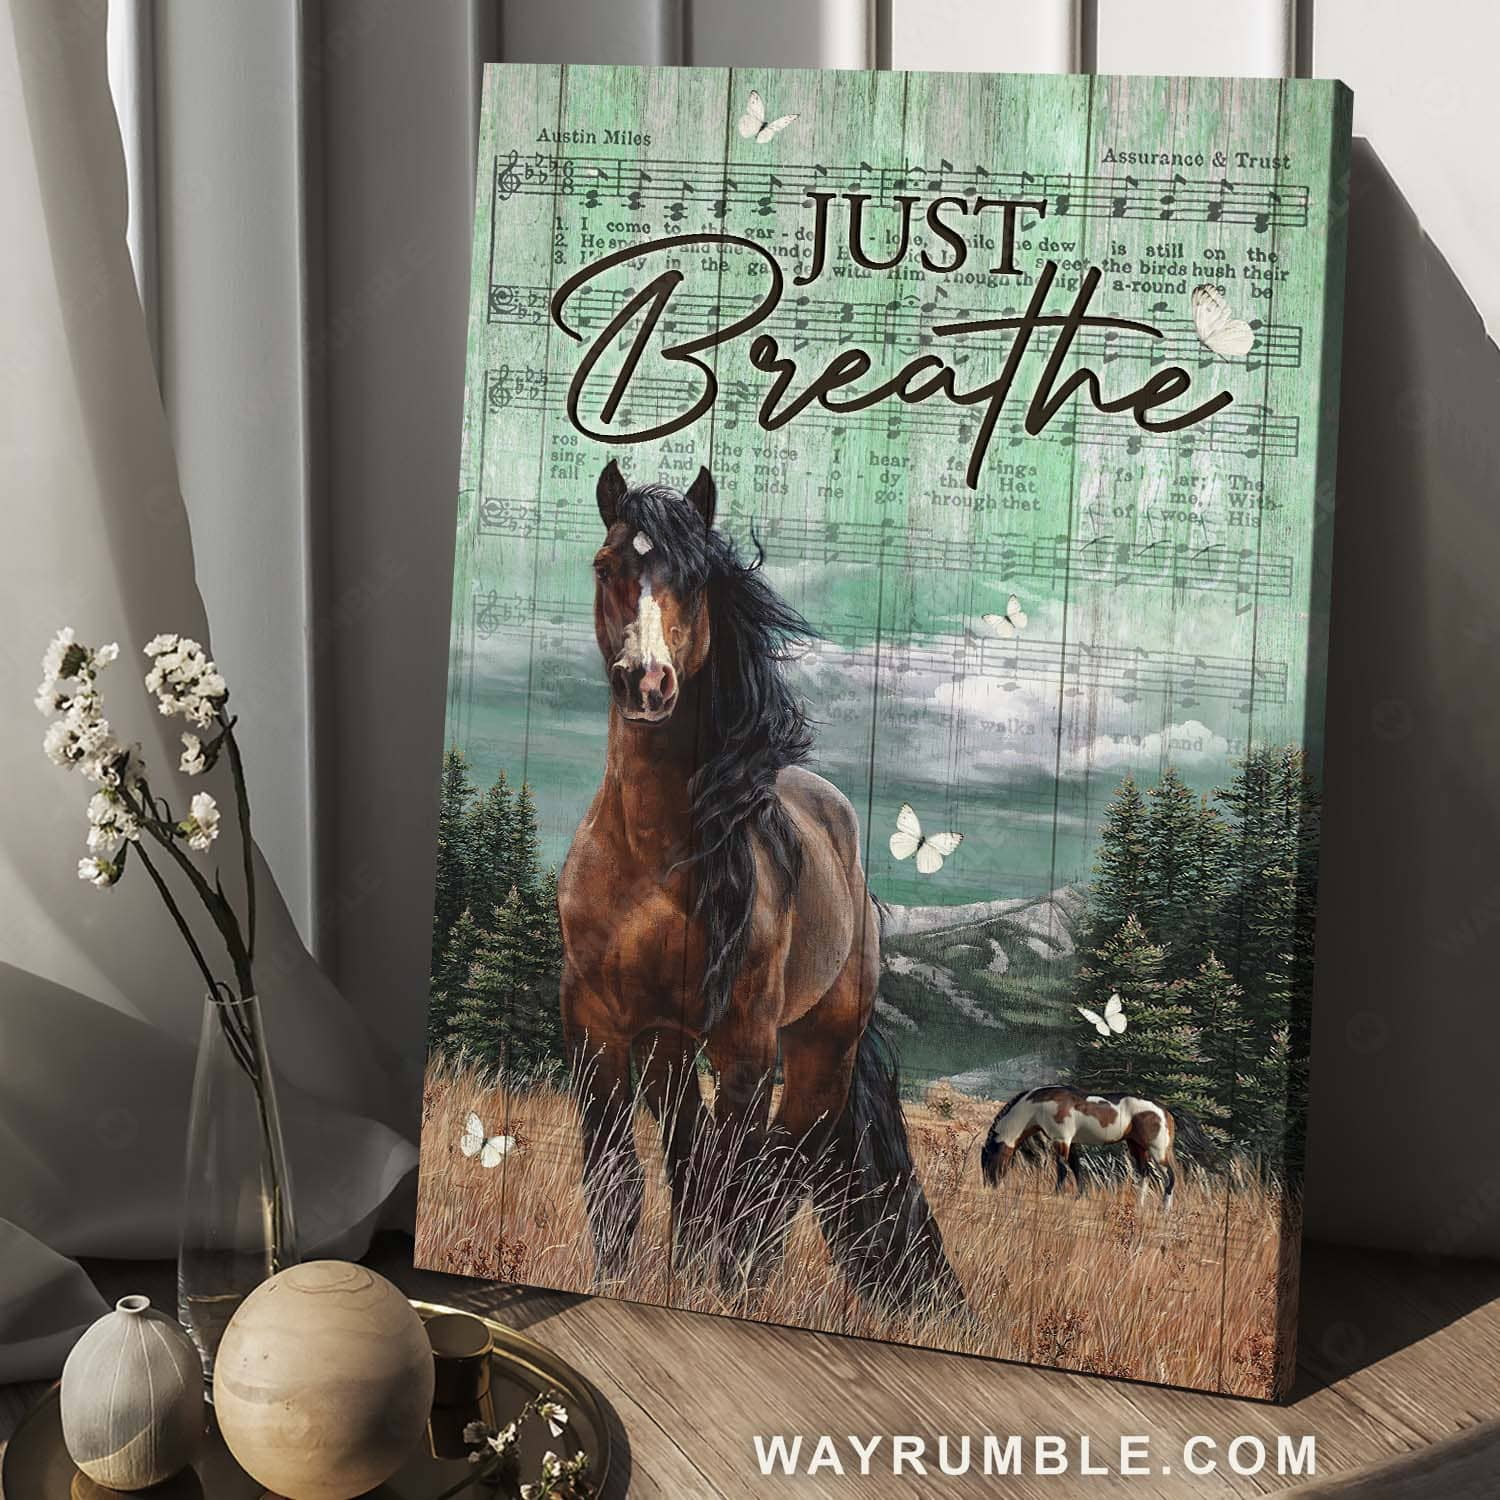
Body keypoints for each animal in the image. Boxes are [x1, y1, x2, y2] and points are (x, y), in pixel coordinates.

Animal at [557, 459, 962, 1314]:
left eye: (695, 578)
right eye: (606, 567)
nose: (647, 684)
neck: (651, 856)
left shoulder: (744, 1044)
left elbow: (734, 1190)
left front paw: (708, 1291)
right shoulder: (598, 1023)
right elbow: (620, 1183)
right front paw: (622, 1284)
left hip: (817, 1058)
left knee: (778, 1177)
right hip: (671, 1050)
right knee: (704, 1168)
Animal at [979, 1085, 1183, 1210]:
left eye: (989, 1160)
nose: (990, 1186)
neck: (1040, 1105)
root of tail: (1165, 1112)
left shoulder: (1061, 1140)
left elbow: (1062, 1169)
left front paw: (1056, 1195)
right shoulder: (1071, 1142)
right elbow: (1077, 1169)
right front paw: (1080, 1196)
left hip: (1157, 1151)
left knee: (1170, 1176)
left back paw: (1164, 1210)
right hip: (1137, 1147)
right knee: (1144, 1173)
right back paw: (1140, 1205)